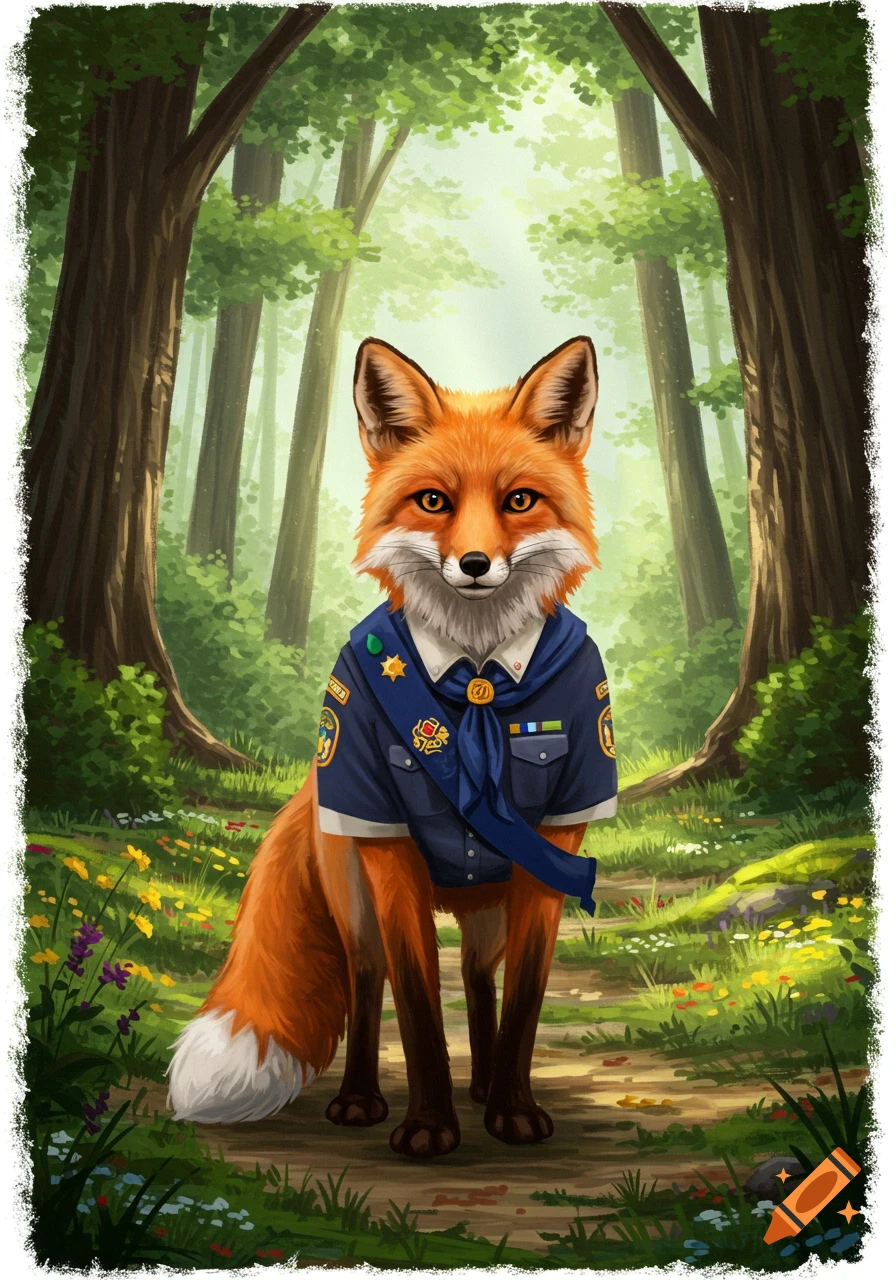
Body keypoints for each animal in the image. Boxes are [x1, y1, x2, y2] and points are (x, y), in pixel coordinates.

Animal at [167, 335, 617, 1160]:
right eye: (433, 501)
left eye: (519, 501)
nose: (474, 564)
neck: (477, 678)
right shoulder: (389, 850)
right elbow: (414, 1002)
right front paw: (430, 1125)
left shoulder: (554, 839)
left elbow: (525, 999)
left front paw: (512, 1110)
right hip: (354, 899)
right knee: (364, 981)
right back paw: (359, 1100)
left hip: (488, 910)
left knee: (479, 978)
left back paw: (485, 1089)